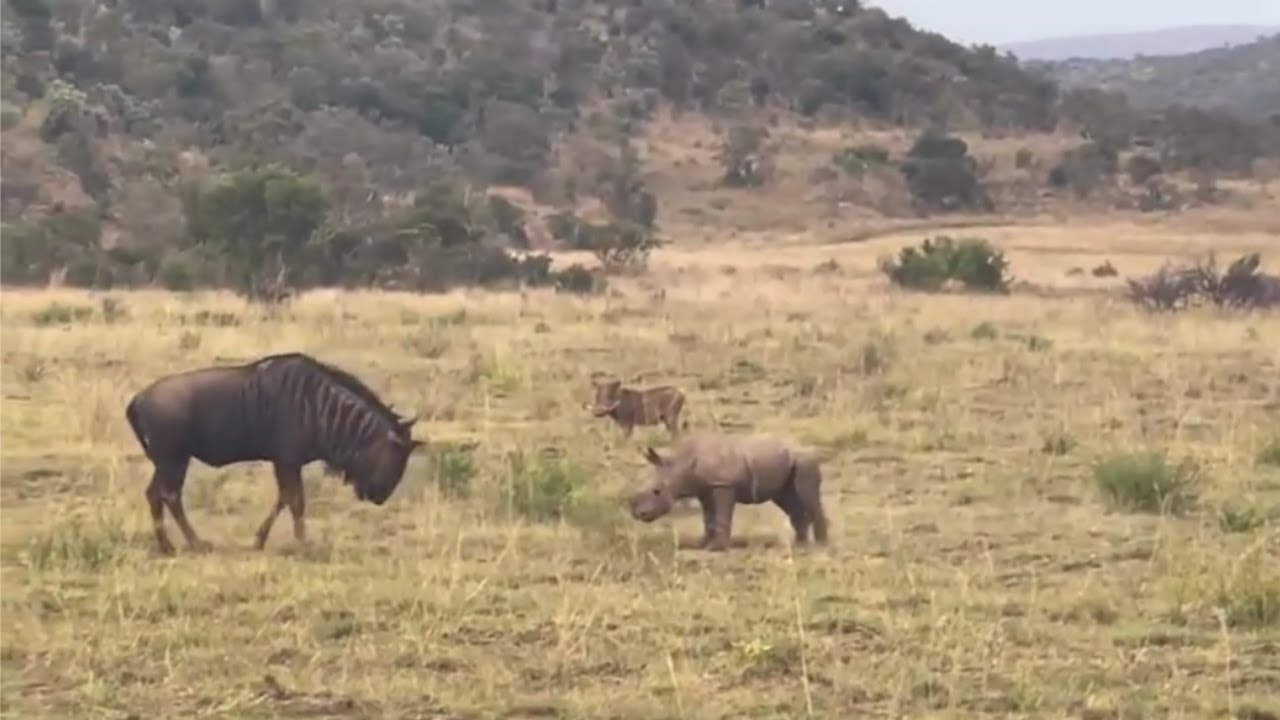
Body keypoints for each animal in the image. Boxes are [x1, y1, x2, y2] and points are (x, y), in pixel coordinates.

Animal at [124, 351, 423, 555]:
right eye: (397, 457)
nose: (379, 497)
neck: (319, 405)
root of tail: (138, 399)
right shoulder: (288, 462)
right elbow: (296, 501)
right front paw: (302, 543)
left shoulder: (286, 463)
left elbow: (285, 498)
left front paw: (262, 539)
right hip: (174, 460)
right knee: (170, 495)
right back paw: (194, 543)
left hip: (167, 462)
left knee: (155, 494)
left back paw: (167, 545)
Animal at [628, 431, 829, 552]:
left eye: (657, 491)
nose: (639, 514)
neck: (681, 464)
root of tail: (804, 445)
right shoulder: (705, 489)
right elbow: (708, 517)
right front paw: (703, 544)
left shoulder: (723, 484)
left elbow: (722, 515)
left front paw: (717, 548)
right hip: (784, 462)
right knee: (787, 500)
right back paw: (799, 545)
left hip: (804, 460)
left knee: (807, 495)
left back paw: (821, 545)